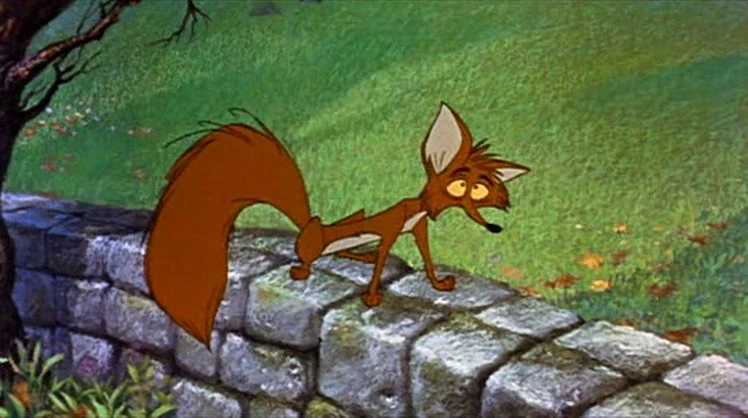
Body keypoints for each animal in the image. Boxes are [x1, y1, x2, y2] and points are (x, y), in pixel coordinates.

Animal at [144, 102, 530, 347]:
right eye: (464, 186)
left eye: (487, 189)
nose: (498, 218)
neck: (419, 209)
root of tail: (308, 227)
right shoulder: (392, 229)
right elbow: (383, 259)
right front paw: (372, 295)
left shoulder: (417, 229)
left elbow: (426, 257)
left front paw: (438, 282)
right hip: (315, 245)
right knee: (310, 258)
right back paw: (305, 270)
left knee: (350, 254)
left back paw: (359, 257)